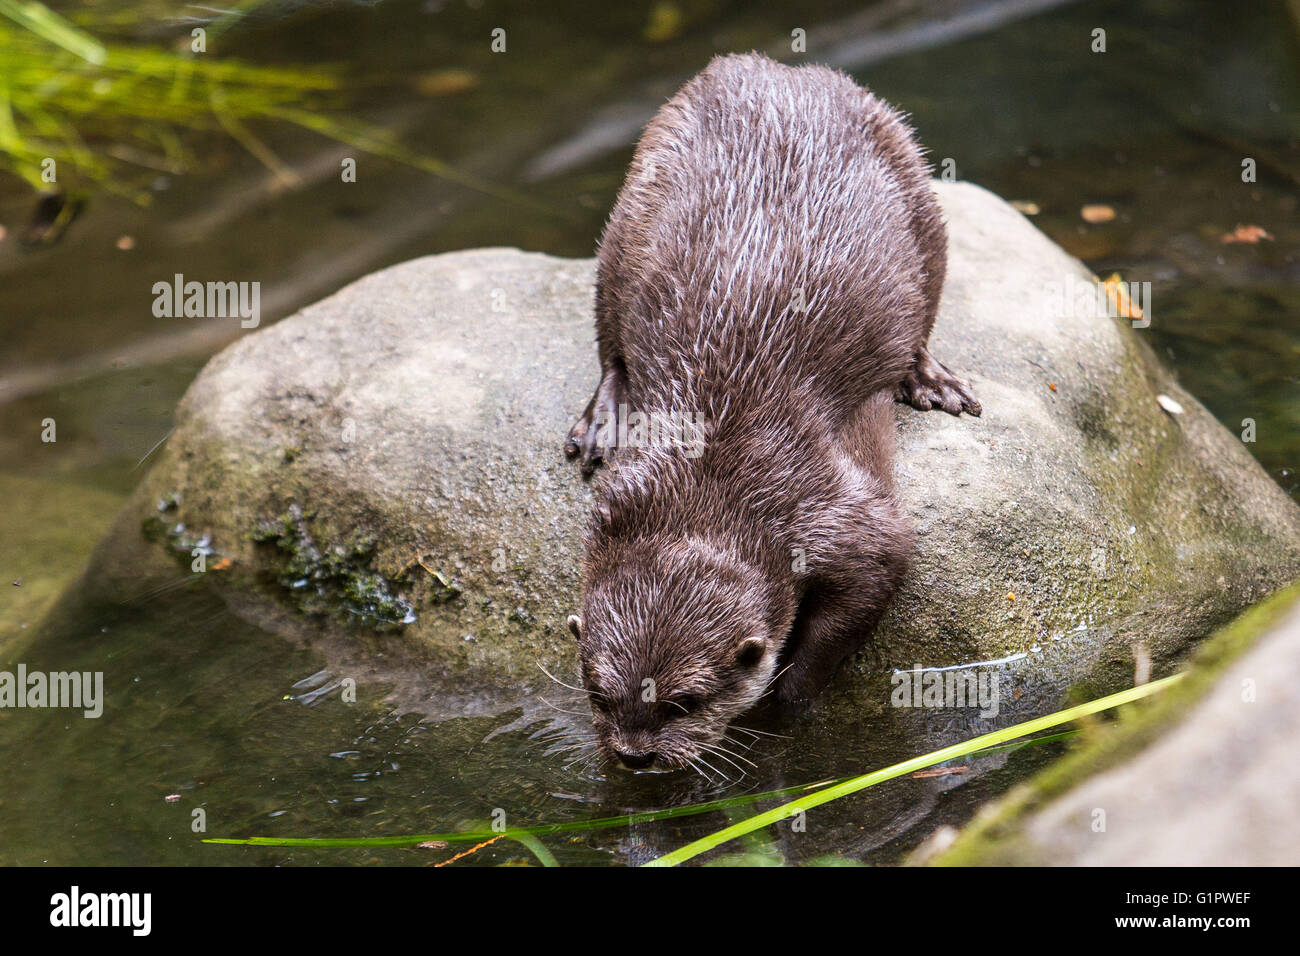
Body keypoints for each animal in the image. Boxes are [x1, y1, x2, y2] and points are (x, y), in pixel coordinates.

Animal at [563, 53, 979, 774]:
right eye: (597, 688)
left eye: (686, 702)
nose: (635, 756)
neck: (708, 488)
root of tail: (776, 67)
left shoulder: (842, 519)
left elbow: (867, 586)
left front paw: (786, 700)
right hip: (628, 218)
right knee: (611, 329)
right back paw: (603, 418)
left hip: (917, 190)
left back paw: (928, 377)